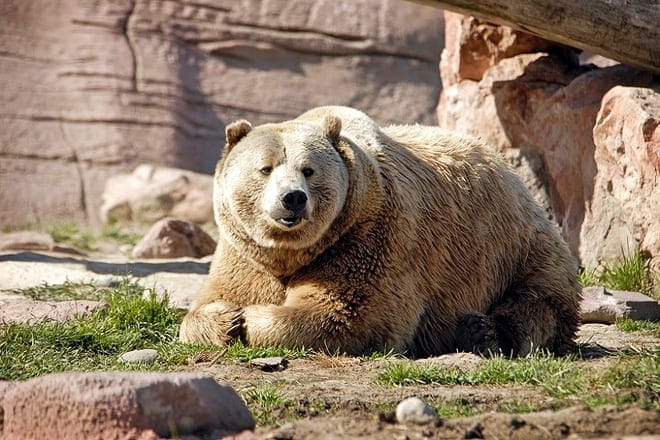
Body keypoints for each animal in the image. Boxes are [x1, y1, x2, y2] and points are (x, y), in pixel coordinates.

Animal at [179, 106, 582, 357]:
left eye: (308, 169)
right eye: (265, 168)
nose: (292, 198)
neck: (296, 252)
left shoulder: (370, 235)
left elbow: (348, 311)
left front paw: (251, 319)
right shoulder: (245, 252)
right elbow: (209, 302)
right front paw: (226, 318)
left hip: (516, 245)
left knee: (538, 302)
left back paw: (483, 331)